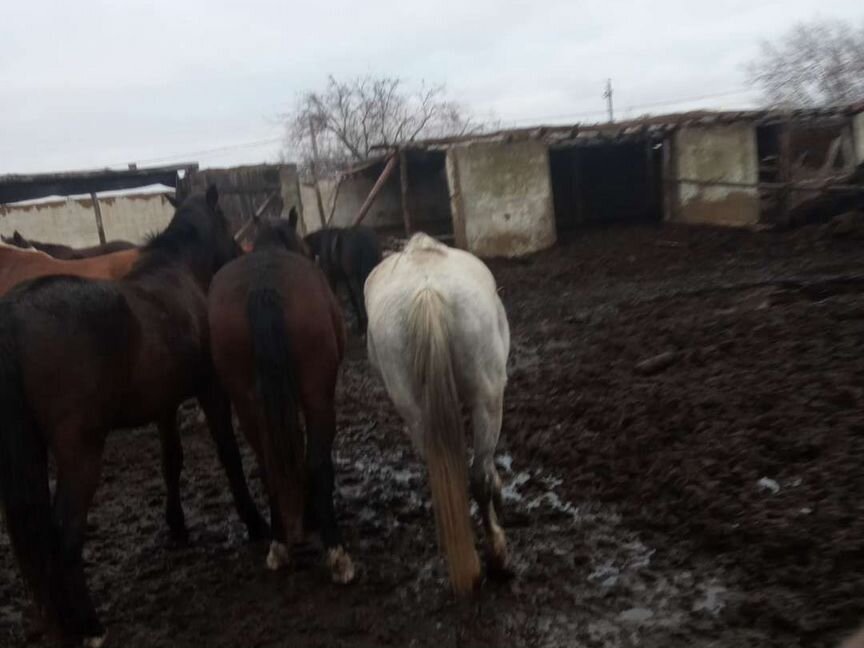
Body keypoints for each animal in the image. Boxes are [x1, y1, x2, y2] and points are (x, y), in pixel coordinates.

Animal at [208, 211, 355, 585]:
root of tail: (264, 284)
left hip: (246, 403)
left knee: (267, 464)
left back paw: (279, 545)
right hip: (318, 396)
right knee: (317, 462)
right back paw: (336, 553)